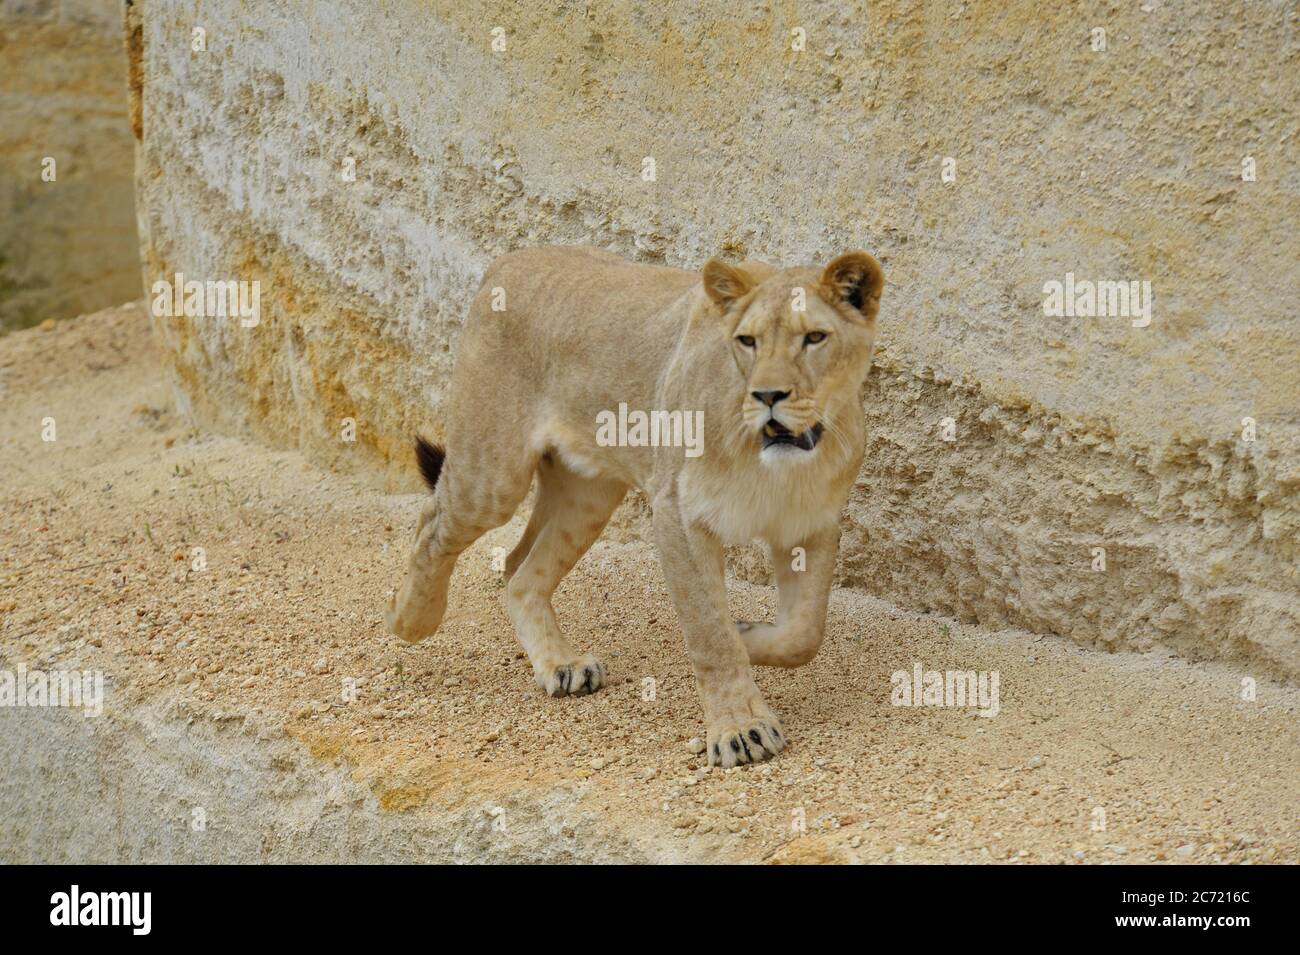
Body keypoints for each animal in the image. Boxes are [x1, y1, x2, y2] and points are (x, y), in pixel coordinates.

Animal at [385, 246, 884, 767]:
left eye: (814, 338)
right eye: (747, 341)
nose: (768, 396)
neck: (779, 461)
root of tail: (506, 261)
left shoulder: (811, 523)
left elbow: (804, 633)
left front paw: (748, 635)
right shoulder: (678, 514)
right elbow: (709, 631)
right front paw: (740, 729)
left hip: (589, 496)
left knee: (519, 568)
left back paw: (560, 664)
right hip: (494, 477)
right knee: (433, 524)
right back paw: (408, 619)